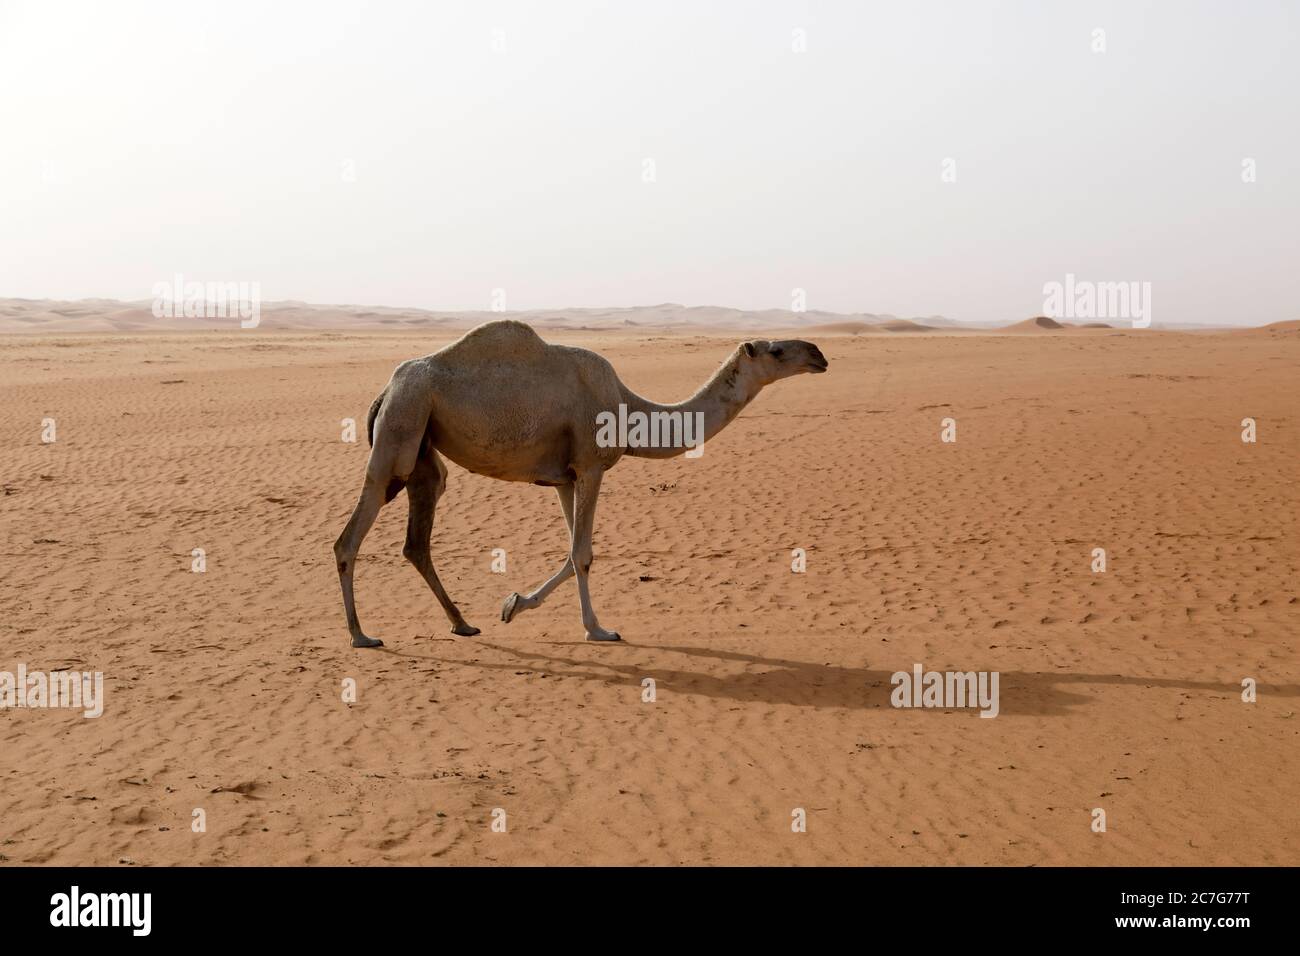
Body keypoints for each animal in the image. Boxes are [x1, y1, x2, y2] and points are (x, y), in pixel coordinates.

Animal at [333, 320, 828, 647]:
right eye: (776, 350)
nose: (819, 354)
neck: (630, 410)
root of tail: (384, 390)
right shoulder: (591, 465)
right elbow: (583, 553)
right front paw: (598, 630)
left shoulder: (563, 478)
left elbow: (573, 552)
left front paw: (513, 604)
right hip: (403, 422)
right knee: (352, 534)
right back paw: (361, 635)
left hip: (421, 441)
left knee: (418, 531)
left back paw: (462, 623)